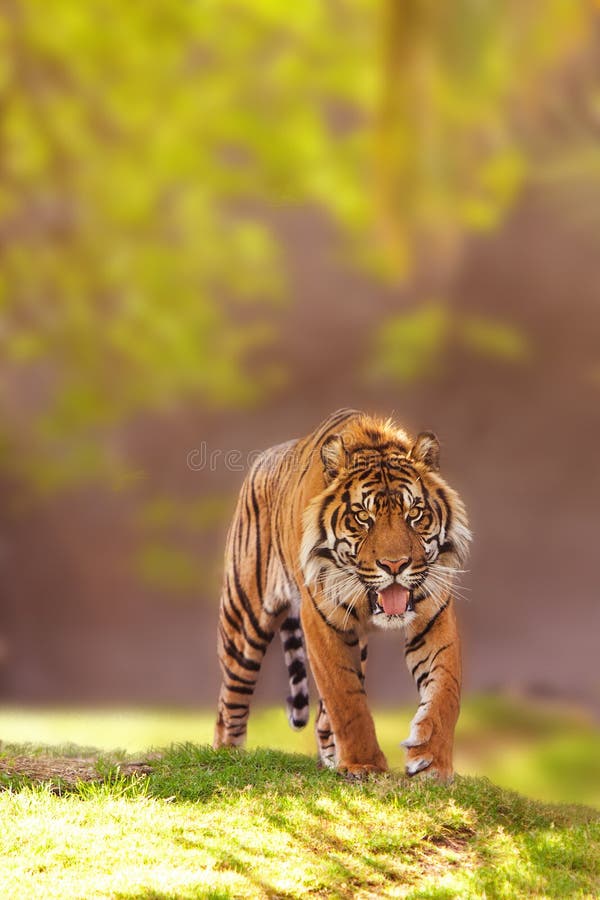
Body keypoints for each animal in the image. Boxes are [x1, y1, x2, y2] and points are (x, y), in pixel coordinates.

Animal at [213, 408, 471, 780]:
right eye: (363, 517)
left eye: (414, 514)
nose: (395, 565)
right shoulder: (322, 618)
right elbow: (346, 697)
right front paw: (364, 763)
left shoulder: (434, 613)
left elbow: (444, 691)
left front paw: (431, 762)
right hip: (243, 620)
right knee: (229, 703)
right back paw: (227, 756)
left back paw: (331, 758)